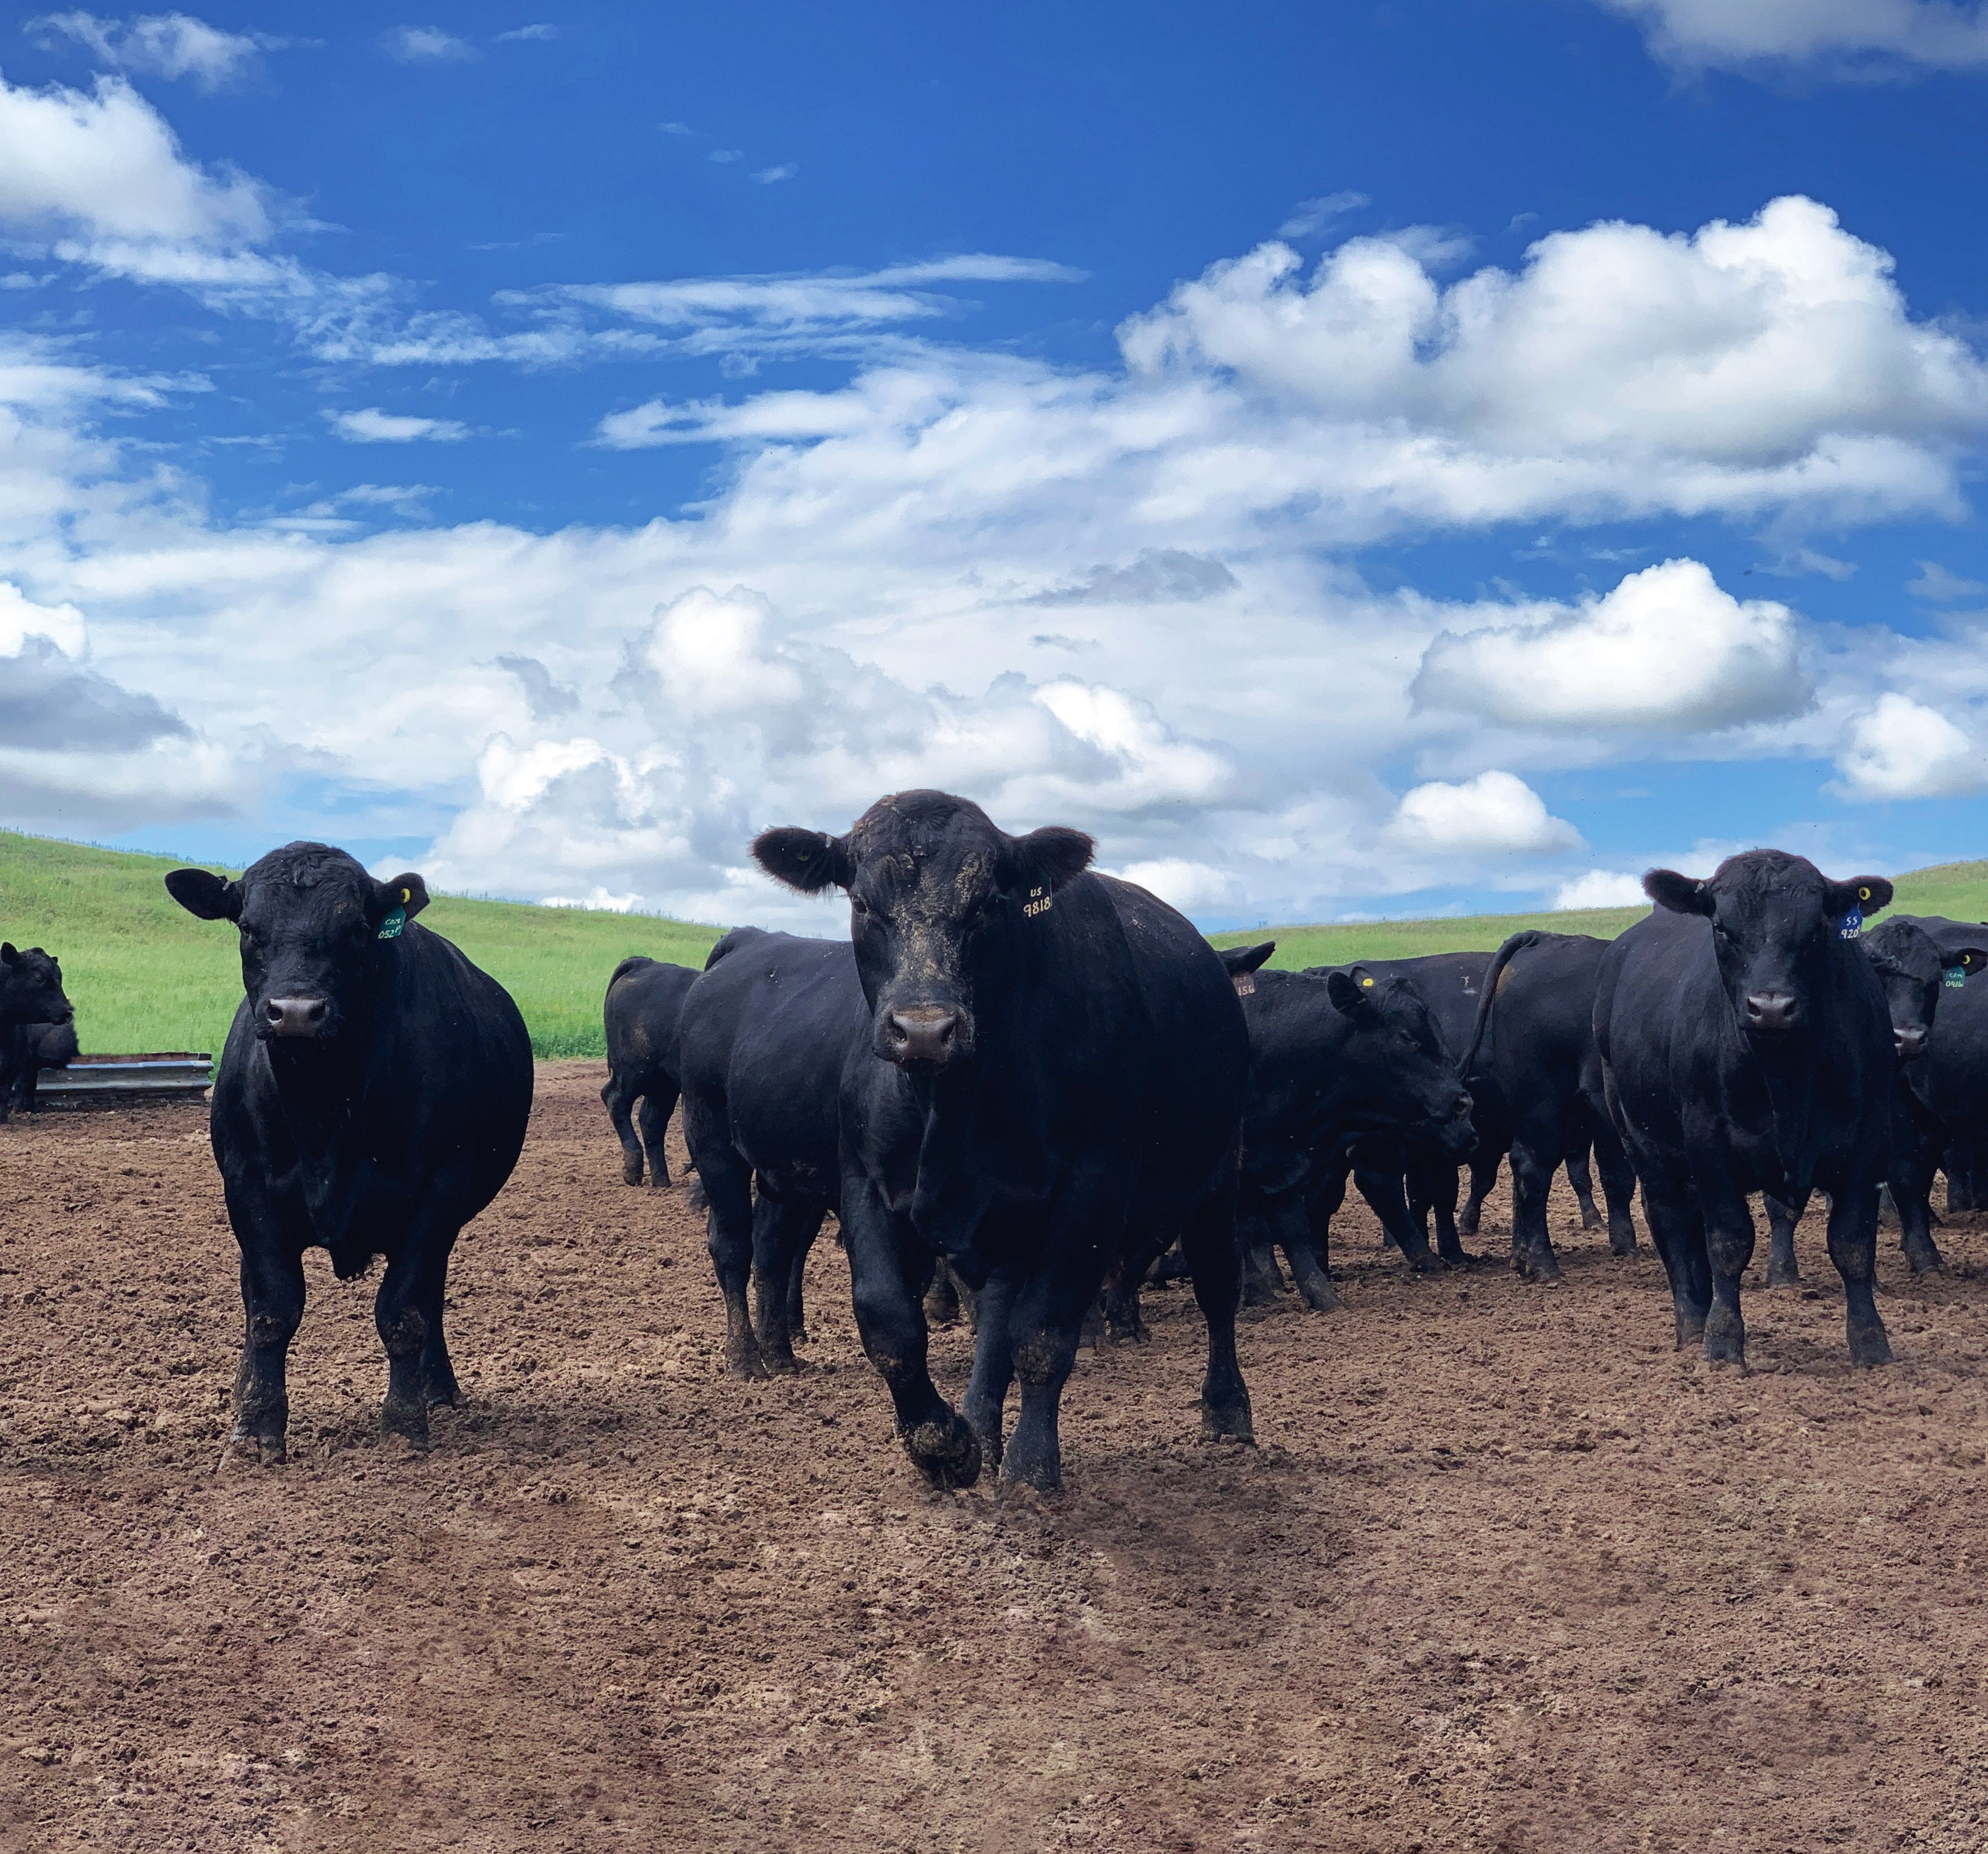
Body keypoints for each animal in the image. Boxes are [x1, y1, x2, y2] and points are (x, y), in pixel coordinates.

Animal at [166, 843, 533, 1461]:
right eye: (248, 927)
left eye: (356, 928)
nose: (294, 1011)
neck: (322, 1110)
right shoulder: (247, 1189)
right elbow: (271, 1310)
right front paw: (255, 1428)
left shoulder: (437, 1190)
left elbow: (403, 1312)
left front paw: (404, 1424)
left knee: (431, 1297)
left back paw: (438, 1390)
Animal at [601, 955, 699, 1186]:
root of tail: (645, 964)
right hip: (635, 1073)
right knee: (616, 1101)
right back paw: (633, 1169)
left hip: (664, 1084)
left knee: (651, 1121)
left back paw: (661, 1181)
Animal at [676, 926, 866, 1377]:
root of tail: (750, 938)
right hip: (713, 1143)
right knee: (732, 1246)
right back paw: (745, 1355)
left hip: (785, 1170)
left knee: (771, 1251)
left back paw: (778, 1350)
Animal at [752, 789, 1253, 1494]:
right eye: (862, 903)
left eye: (989, 902)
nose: (925, 1029)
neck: (955, 1103)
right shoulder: (864, 1179)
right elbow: (889, 1322)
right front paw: (942, 1443)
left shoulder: (1093, 1188)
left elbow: (1044, 1332)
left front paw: (1032, 1466)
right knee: (993, 1315)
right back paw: (980, 1431)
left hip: (1217, 1171)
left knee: (1217, 1283)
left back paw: (1228, 1411)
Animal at [1594, 851, 1896, 1368]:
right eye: (1721, 926)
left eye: (1817, 926)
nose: (1771, 1007)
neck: (1785, 1076)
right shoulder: (1707, 1139)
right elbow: (1729, 1242)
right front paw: (1722, 1341)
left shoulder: (1869, 1139)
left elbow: (1853, 1243)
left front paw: (1871, 1343)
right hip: (1643, 1143)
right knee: (1672, 1222)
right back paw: (1693, 1323)